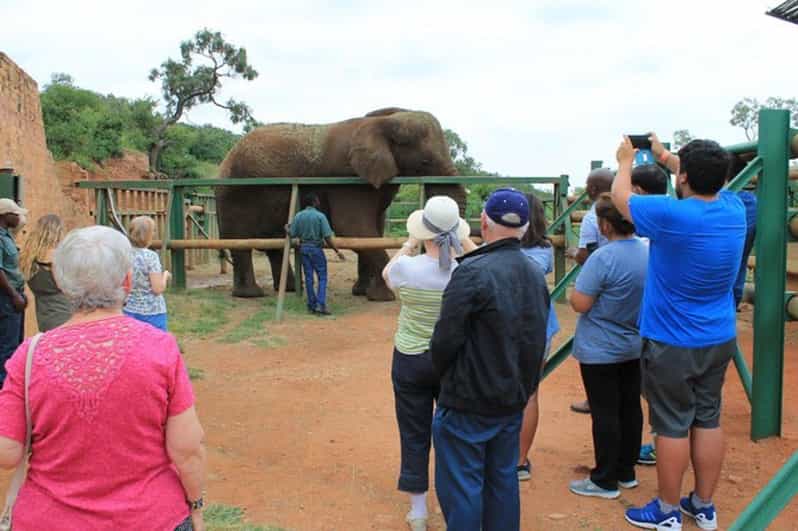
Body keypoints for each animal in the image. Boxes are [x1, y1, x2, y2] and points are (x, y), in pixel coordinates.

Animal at [215, 107, 466, 301]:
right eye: (425, 162)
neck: (384, 121)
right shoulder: (347, 179)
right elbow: (354, 228)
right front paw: (383, 297)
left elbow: (372, 230)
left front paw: (362, 293)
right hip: (234, 195)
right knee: (241, 243)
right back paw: (251, 295)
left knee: (273, 245)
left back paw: (290, 289)